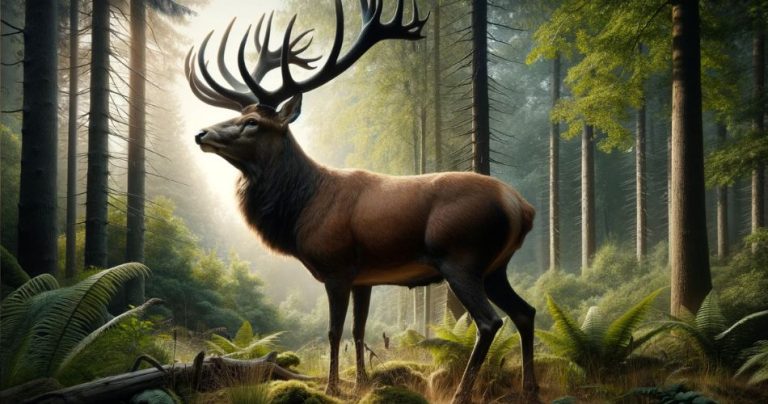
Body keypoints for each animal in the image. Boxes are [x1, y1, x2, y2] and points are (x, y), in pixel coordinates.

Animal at [185, 1, 537, 403]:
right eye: (238, 115)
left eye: (253, 122)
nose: (202, 133)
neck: (302, 210)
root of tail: (522, 206)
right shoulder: (363, 276)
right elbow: (358, 330)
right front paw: (363, 383)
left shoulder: (336, 266)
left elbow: (333, 331)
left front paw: (333, 385)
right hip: (496, 267)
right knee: (526, 312)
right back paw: (529, 389)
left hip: (461, 258)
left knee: (490, 321)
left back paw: (461, 393)